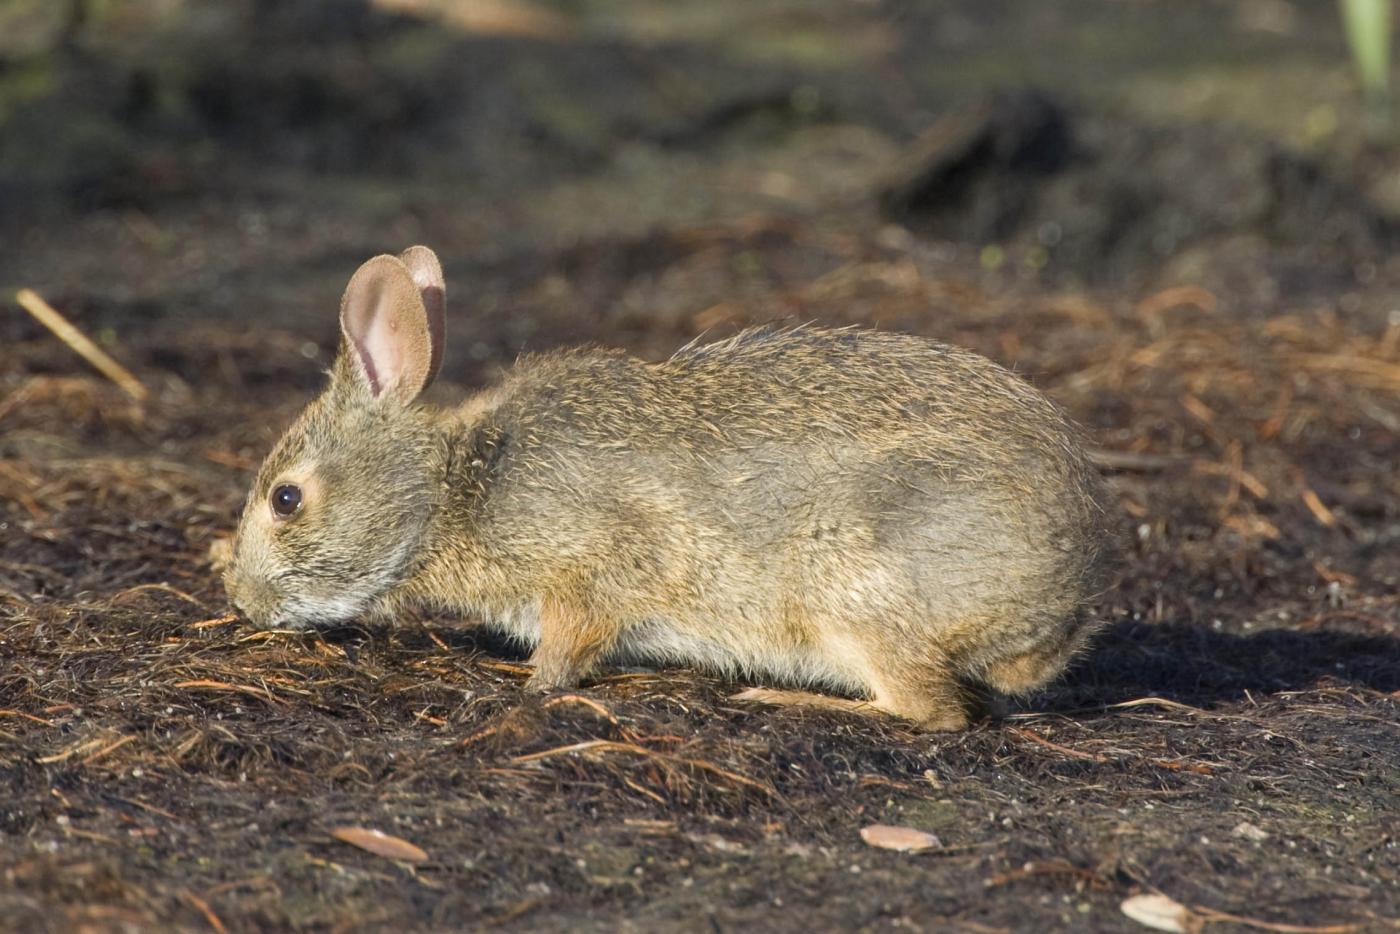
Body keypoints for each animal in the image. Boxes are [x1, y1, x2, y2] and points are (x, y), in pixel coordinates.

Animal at [223, 246, 1117, 731]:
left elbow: (570, 644)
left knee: (926, 709)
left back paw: (787, 701)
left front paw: (529, 686)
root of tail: (1059, 600)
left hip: (857, 592)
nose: (241, 598)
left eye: (286, 499)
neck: (452, 491)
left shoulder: (592, 569)